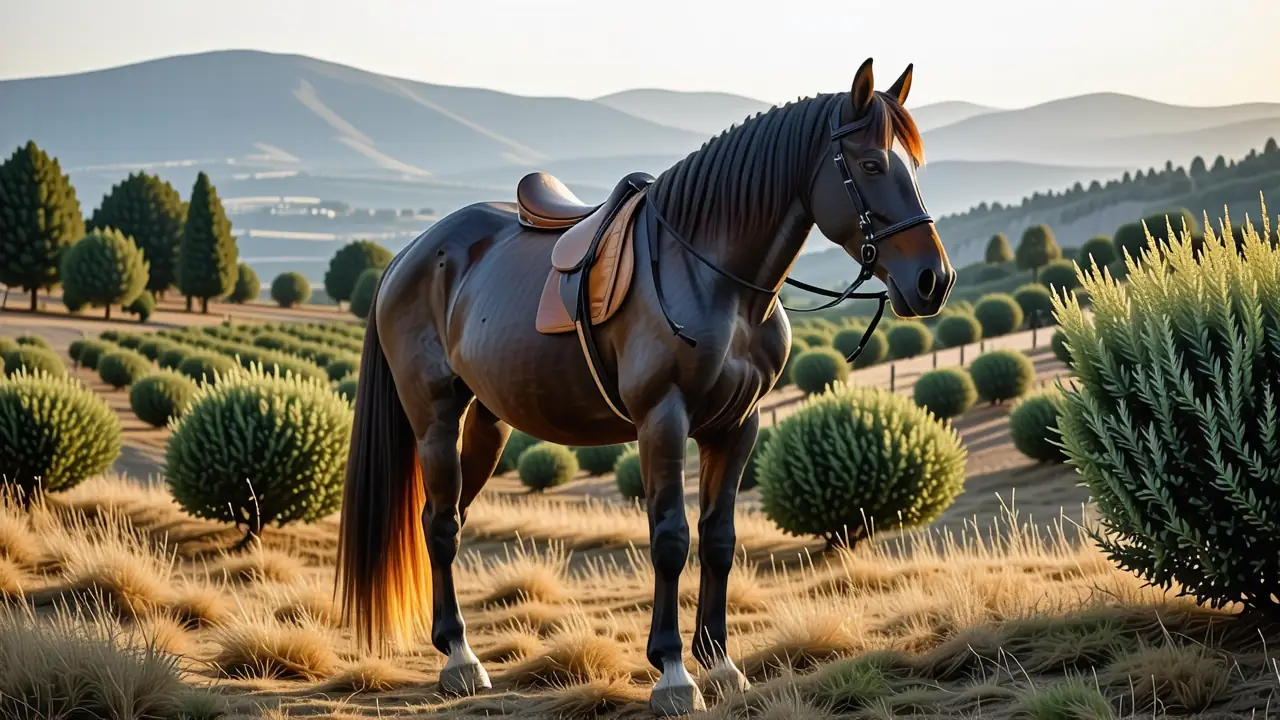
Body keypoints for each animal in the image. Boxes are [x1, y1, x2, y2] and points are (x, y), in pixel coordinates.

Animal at [335, 58, 955, 717]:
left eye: (913, 166)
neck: (712, 278)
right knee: (440, 525)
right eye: (871, 165)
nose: (932, 280)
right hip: (435, 417)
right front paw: (673, 672)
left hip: (489, 421)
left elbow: (718, 539)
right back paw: (459, 657)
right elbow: (670, 538)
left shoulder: (737, 426)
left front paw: (721, 662)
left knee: (450, 514)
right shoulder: (664, 419)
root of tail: (412, 252)